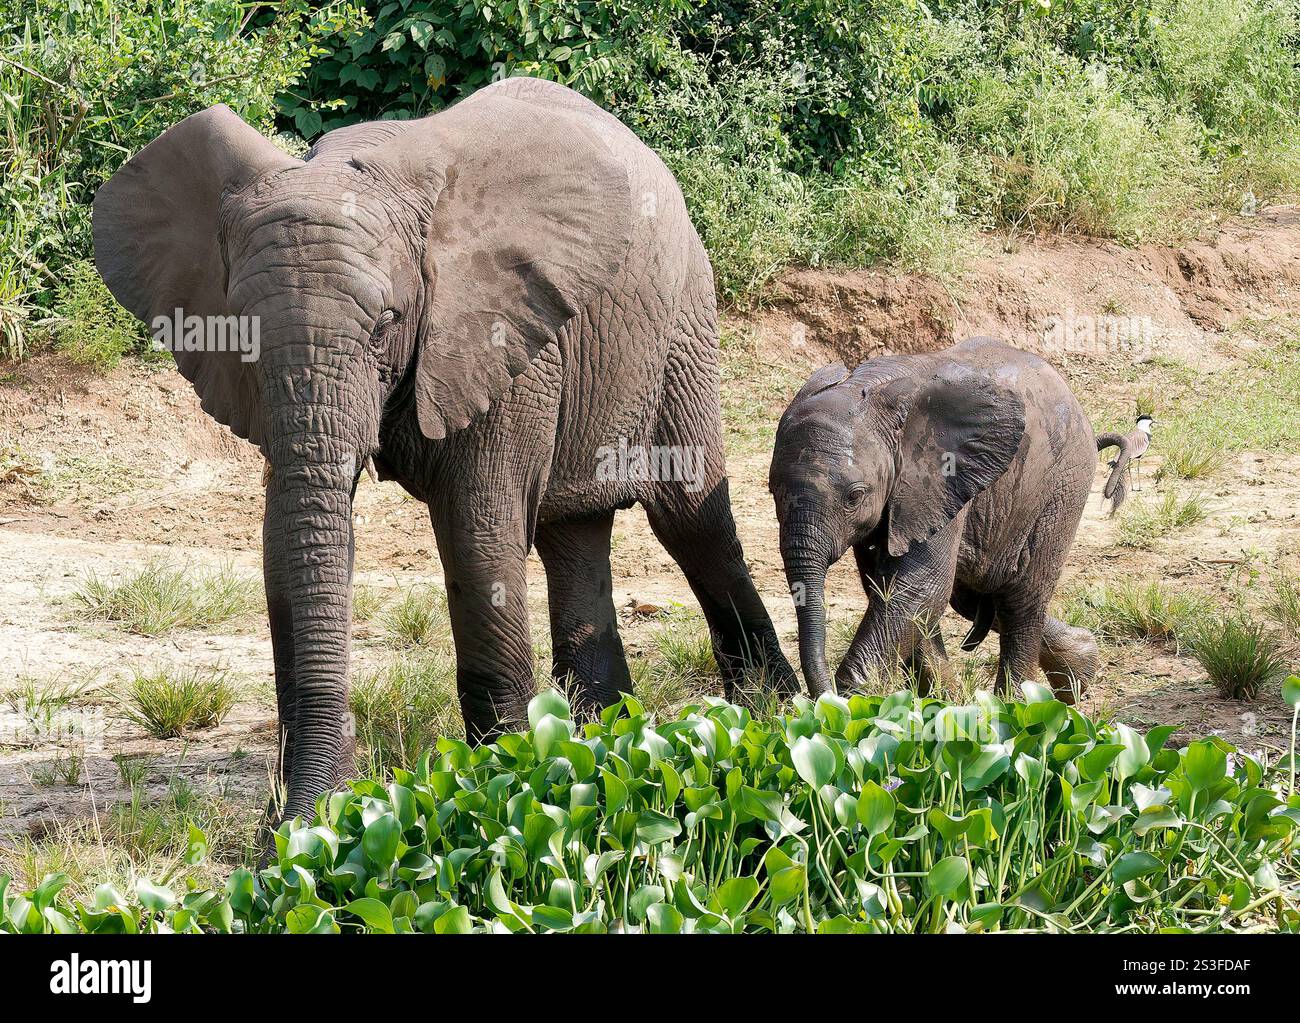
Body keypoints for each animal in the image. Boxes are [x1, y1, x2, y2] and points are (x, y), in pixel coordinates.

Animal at [93, 77, 796, 824]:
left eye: (386, 323)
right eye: (241, 333)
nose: (315, 809)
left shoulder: (501, 337)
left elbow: (476, 534)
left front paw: (502, 782)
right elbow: (287, 539)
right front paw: (306, 827)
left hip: (683, 317)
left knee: (691, 518)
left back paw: (773, 714)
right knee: (574, 533)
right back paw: (607, 738)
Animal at [768, 336, 1100, 701]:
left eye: (854, 497)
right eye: (772, 490)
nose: (817, 695)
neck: (864, 388)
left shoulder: (939, 478)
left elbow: (919, 588)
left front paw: (852, 704)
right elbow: (896, 593)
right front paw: (947, 705)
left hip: (1063, 484)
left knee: (1021, 600)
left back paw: (1018, 705)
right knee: (979, 596)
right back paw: (1080, 670)